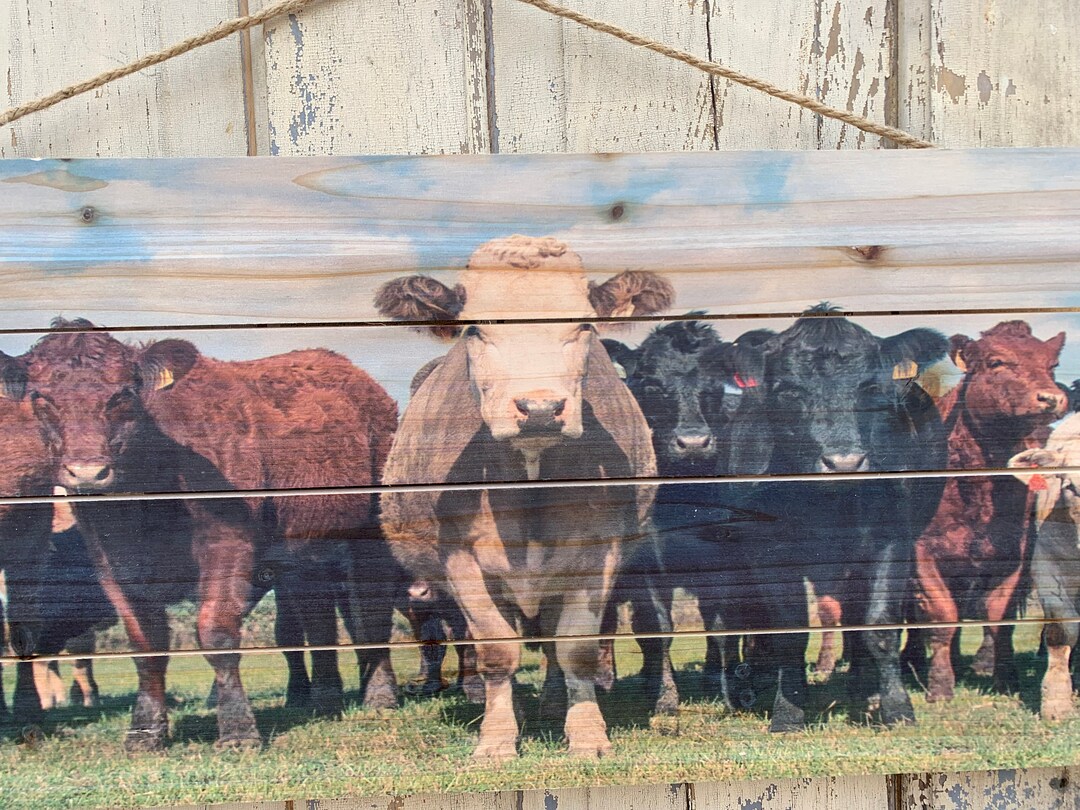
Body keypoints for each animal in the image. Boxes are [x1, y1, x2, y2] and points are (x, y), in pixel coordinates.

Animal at [22, 323, 401, 750]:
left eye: (124, 393)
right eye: (40, 397)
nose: (88, 472)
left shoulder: (226, 544)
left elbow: (216, 634)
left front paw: (238, 731)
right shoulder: (111, 563)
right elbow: (146, 645)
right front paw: (145, 733)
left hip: (371, 531)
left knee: (371, 610)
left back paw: (380, 695)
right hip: (306, 549)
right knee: (317, 617)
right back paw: (325, 699)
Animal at [376, 234, 673, 760]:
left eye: (583, 325)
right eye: (475, 329)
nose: (539, 408)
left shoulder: (599, 550)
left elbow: (575, 647)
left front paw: (587, 736)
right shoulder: (460, 559)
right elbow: (497, 650)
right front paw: (496, 742)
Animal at [710, 306, 948, 730]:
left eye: (870, 389)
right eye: (788, 391)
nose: (844, 462)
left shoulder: (893, 539)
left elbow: (880, 625)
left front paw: (897, 708)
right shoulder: (767, 551)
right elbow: (788, 632)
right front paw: (787, 713)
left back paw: (865, 691)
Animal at [906, 321, 1066, 702]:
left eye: (1051, 364)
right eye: (996, 362)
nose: (1050, 398)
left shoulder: (1014, 556)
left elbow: (999, 618)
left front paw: (1005, 679)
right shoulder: (921, 555)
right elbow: (941, 617)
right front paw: (940, 686)